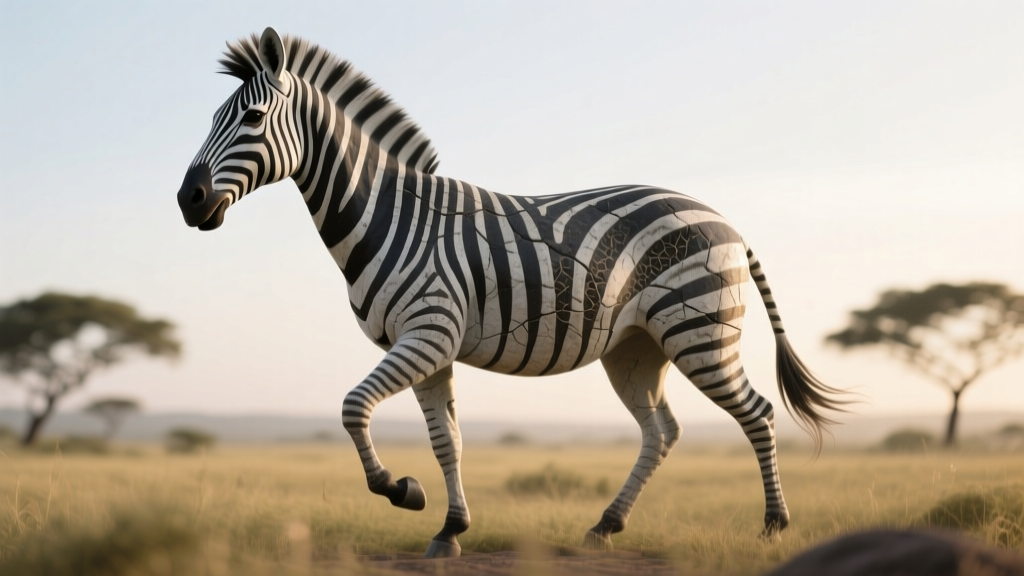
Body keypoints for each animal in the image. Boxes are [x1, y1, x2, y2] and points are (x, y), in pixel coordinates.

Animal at [176, 28, 845, 558]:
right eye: (210, 121)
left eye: (253, 120)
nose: (188, 200)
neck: (390, 217)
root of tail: (725, 221)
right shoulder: (429, 346)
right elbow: (446, 440)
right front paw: (450, 529)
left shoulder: (427, 332)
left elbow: (352, 407)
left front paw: (401, 490)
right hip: (636, 347)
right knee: (663, 432)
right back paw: (605, 526)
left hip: (698, 330)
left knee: (756, 413)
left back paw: (773, 526)